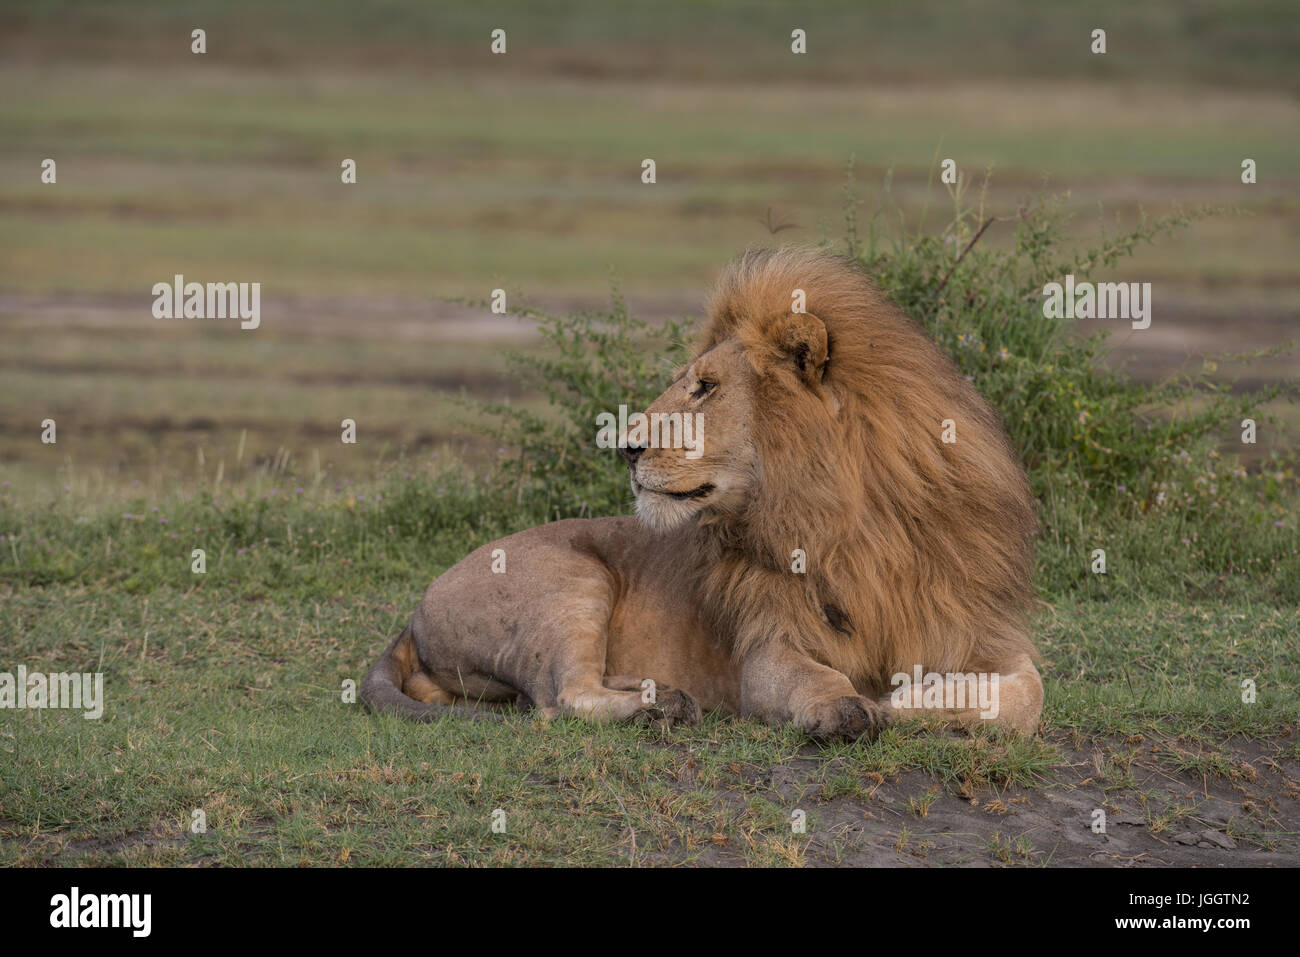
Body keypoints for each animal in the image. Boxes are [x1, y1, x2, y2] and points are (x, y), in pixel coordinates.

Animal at [361, 247, 1043, 738]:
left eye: (706, 387)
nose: (625, 446)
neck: (854, 524)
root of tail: (413, 615)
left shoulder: (981, 630)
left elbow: (1028, 696)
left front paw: (923, 693)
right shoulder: (766, 652)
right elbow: (816, 683)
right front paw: (857, 705)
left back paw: (657, 691)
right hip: (569, 581)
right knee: (560, 699)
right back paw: (659, 709)